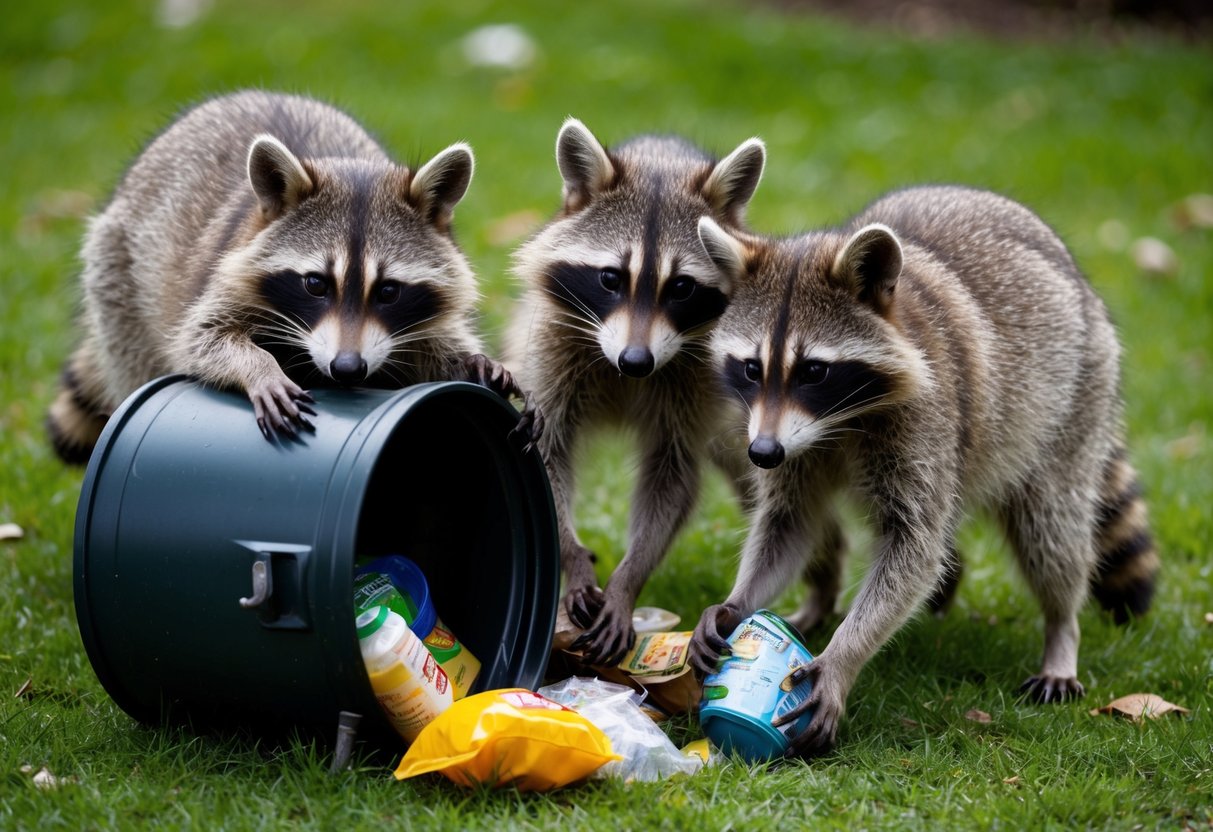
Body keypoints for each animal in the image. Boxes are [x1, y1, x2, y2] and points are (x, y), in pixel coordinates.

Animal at [48, 90, 533, 463]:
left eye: (389, 291)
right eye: (316, 284)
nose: (348, 368)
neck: (349, 168)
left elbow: (432, 342)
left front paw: (471, 359)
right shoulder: (225, 276)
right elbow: (198, 340)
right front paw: (257, 365)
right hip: (116, 272)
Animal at [505, 118, 766, 664]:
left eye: (682, 287)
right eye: (610, 278)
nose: (636, 361)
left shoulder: (691, 384)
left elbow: (673, 474)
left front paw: (627, 581)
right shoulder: (552, 347)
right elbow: (548, 453)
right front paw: (572, 558)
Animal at [689, 186, 1159, 757]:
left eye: (814, 371)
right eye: (752, 368)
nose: (761, 453)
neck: (836, 422)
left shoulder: (925, 418)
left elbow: (911, 550)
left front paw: (842, 657)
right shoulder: (785, 443)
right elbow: (787, 524)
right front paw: (738, 604)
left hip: (1073, 401)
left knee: (1051, 532)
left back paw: (1061, 629)